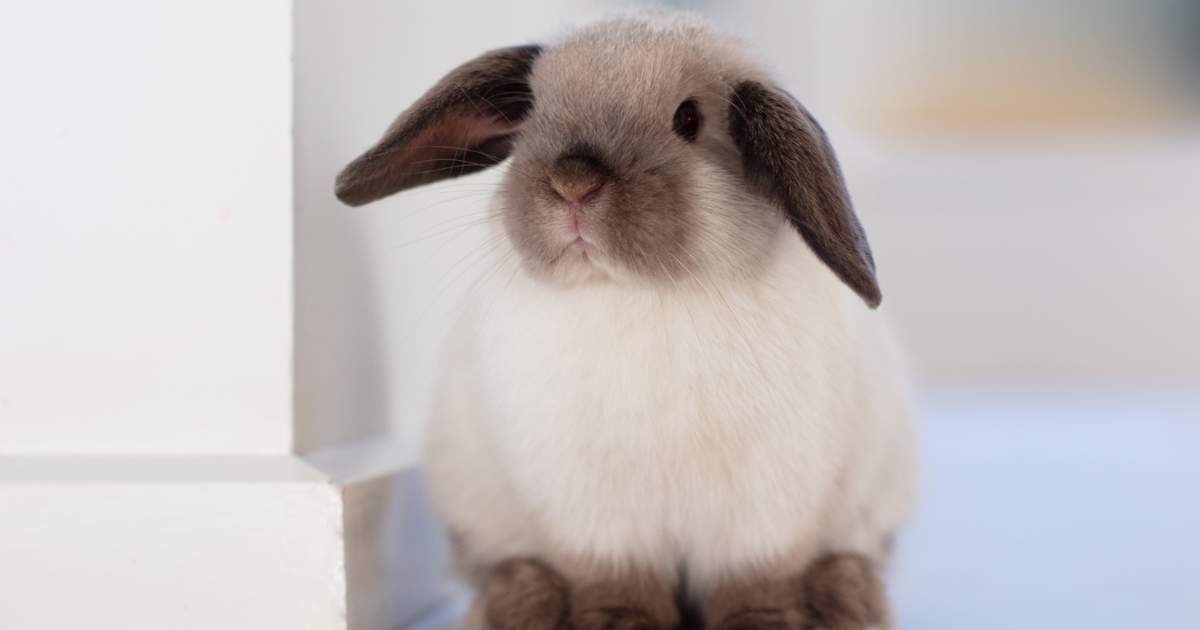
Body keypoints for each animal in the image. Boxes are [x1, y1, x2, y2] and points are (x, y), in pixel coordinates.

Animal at [336, 12, 917, 630]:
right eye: (532, 111)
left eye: (689, 119)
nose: (572, 182)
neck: (638, 293)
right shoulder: (594, 512)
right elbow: (617, 578)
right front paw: (618, 622)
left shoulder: (765, 505)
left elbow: (755, 579)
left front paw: (761, 624)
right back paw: (518, 603)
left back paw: (850, 598)